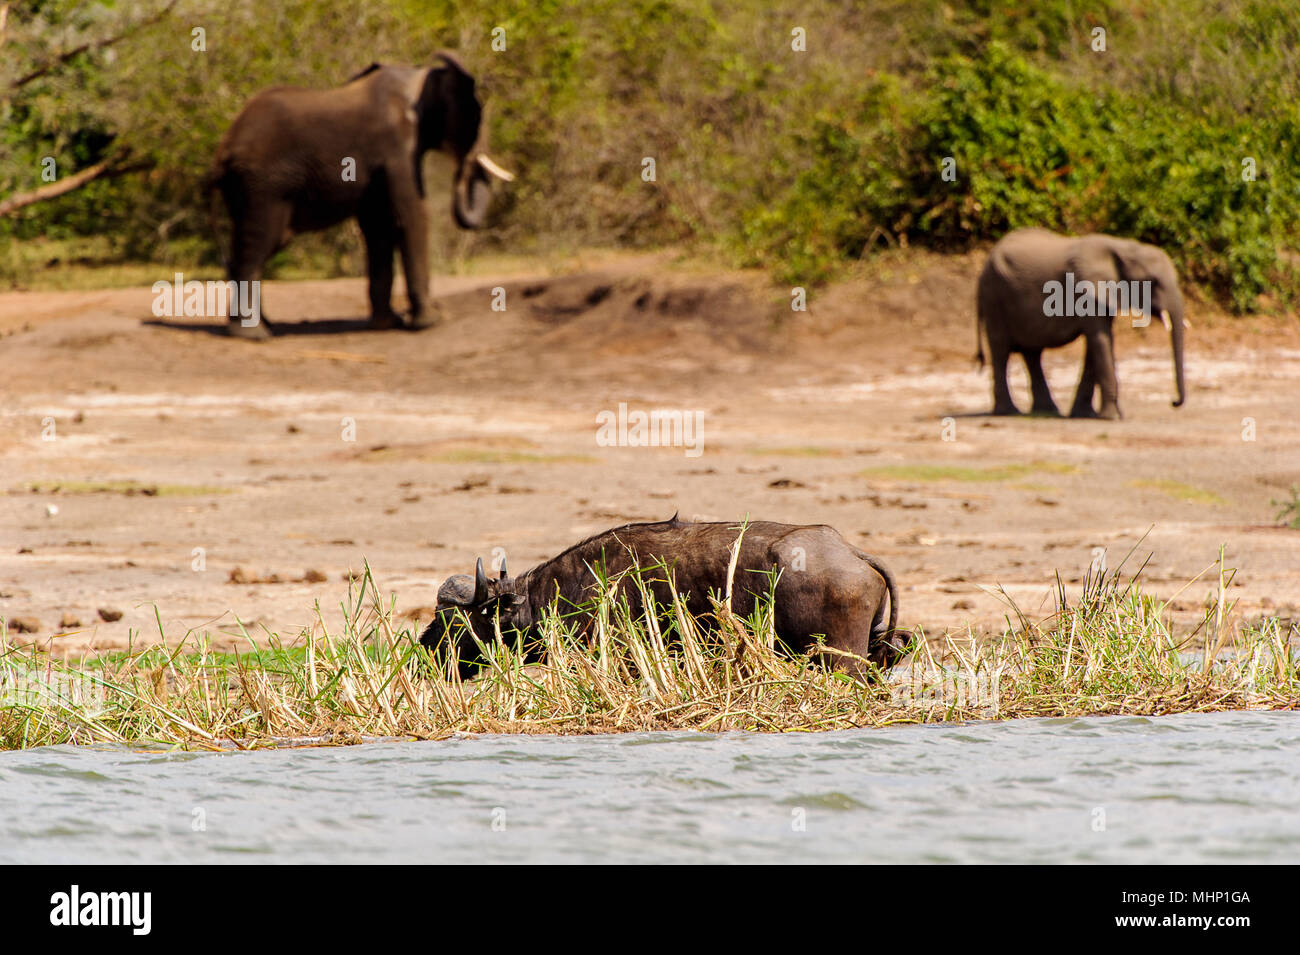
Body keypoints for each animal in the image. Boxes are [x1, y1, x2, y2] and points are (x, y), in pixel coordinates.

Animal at [207, 53, 513, 339]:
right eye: (476, 115)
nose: (466, 166)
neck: (419, 78)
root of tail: (222, 149)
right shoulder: (398, 148)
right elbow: (411, 216)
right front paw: (429, 322)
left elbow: (378, 228)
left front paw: (388, 324)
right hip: (262, 187)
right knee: (258, 244)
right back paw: (254, 334)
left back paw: (263, 325)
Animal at [975, 228, 1187, 419]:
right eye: (1153, 281)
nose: (1173, 402)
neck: (1123, 247)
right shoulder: (1086, 291)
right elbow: (1100, 339)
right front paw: (1113, 417)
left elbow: (1096, 344)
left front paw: (1086, 414)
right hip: (994, 297)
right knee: (1001, 350)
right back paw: (1009, 412)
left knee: (1032, 353)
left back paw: (1046, 412)